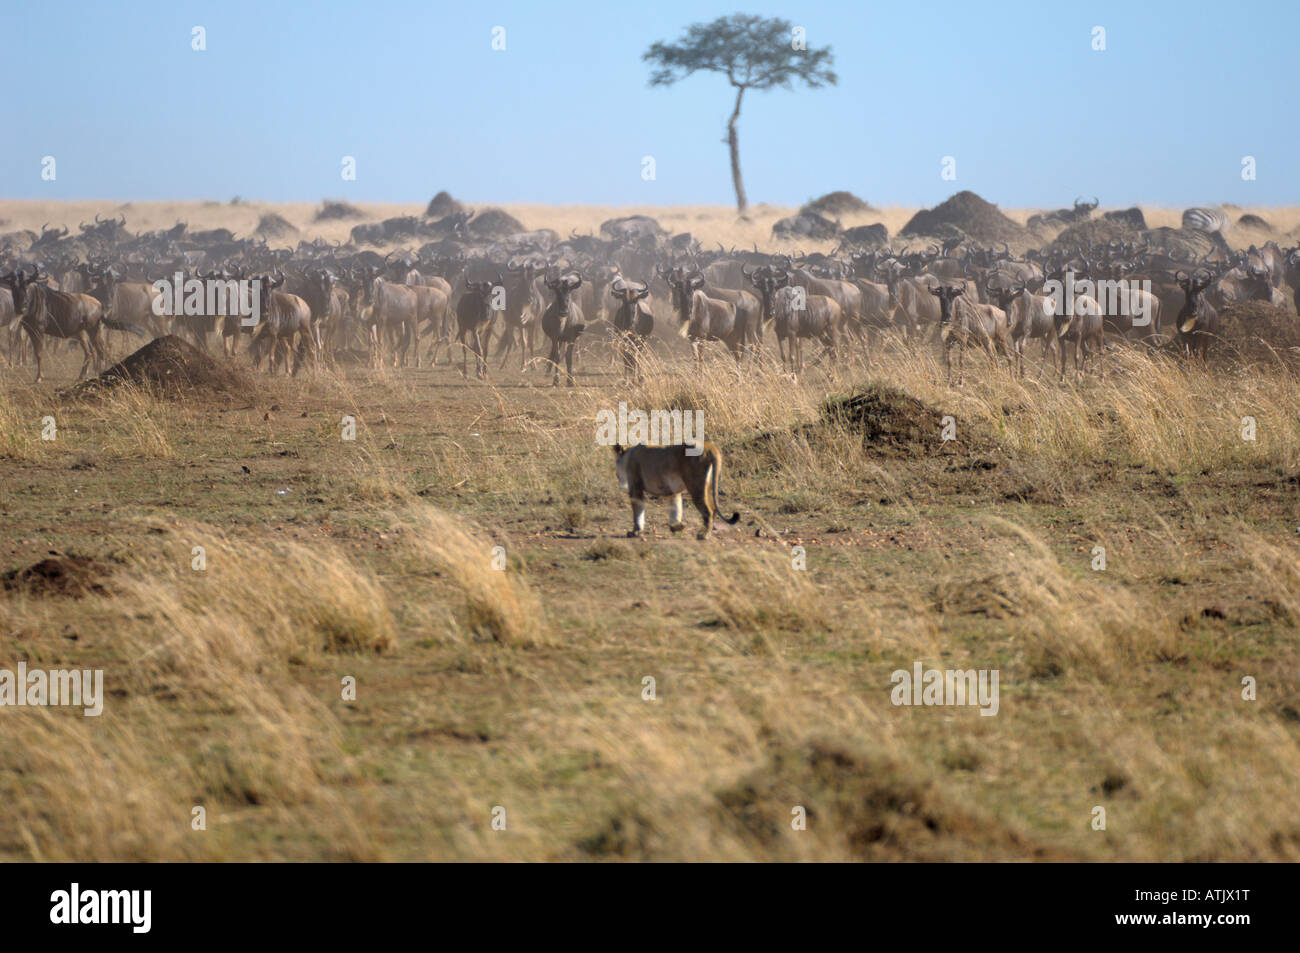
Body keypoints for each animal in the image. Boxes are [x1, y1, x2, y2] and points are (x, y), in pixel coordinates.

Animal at [612, 441, 741, 539]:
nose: (617, 476)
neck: (628, 455)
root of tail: (709, 446)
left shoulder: (636, 488)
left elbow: (638, 512)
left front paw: (635, 532)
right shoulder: (674, 492)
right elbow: (676, 508)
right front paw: (677, 527)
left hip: (696, 487)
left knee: (708, 511)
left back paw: (703, 535)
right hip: (708, 486)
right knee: (713, 509)